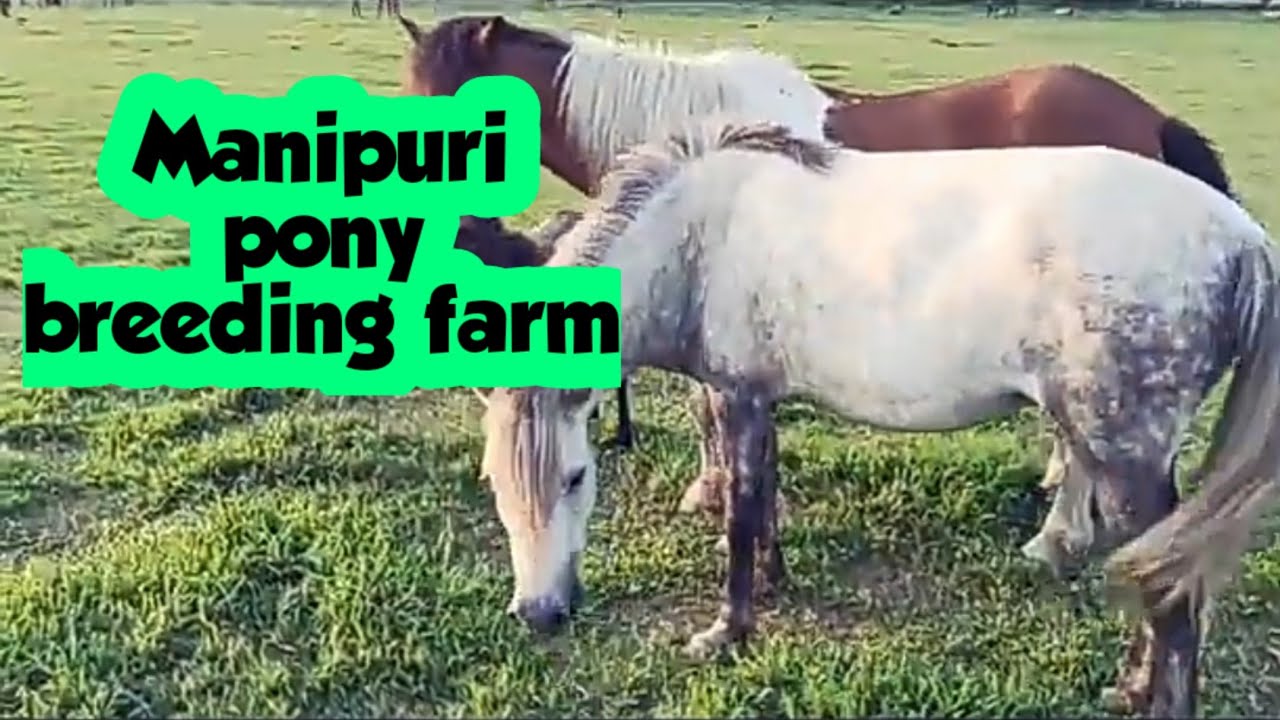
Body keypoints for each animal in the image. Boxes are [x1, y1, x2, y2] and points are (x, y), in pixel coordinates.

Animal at [473, 119, 1280, 718]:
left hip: (1125, 454)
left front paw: (727, 631)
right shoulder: (762, 397)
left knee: (1172, 602)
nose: (540, 614)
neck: (700, 239)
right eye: (494, 484)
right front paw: (773, 582)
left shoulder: (736, 395)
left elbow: (739, 509)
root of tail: (1244, 241)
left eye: (577, 477)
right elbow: (764, 496)